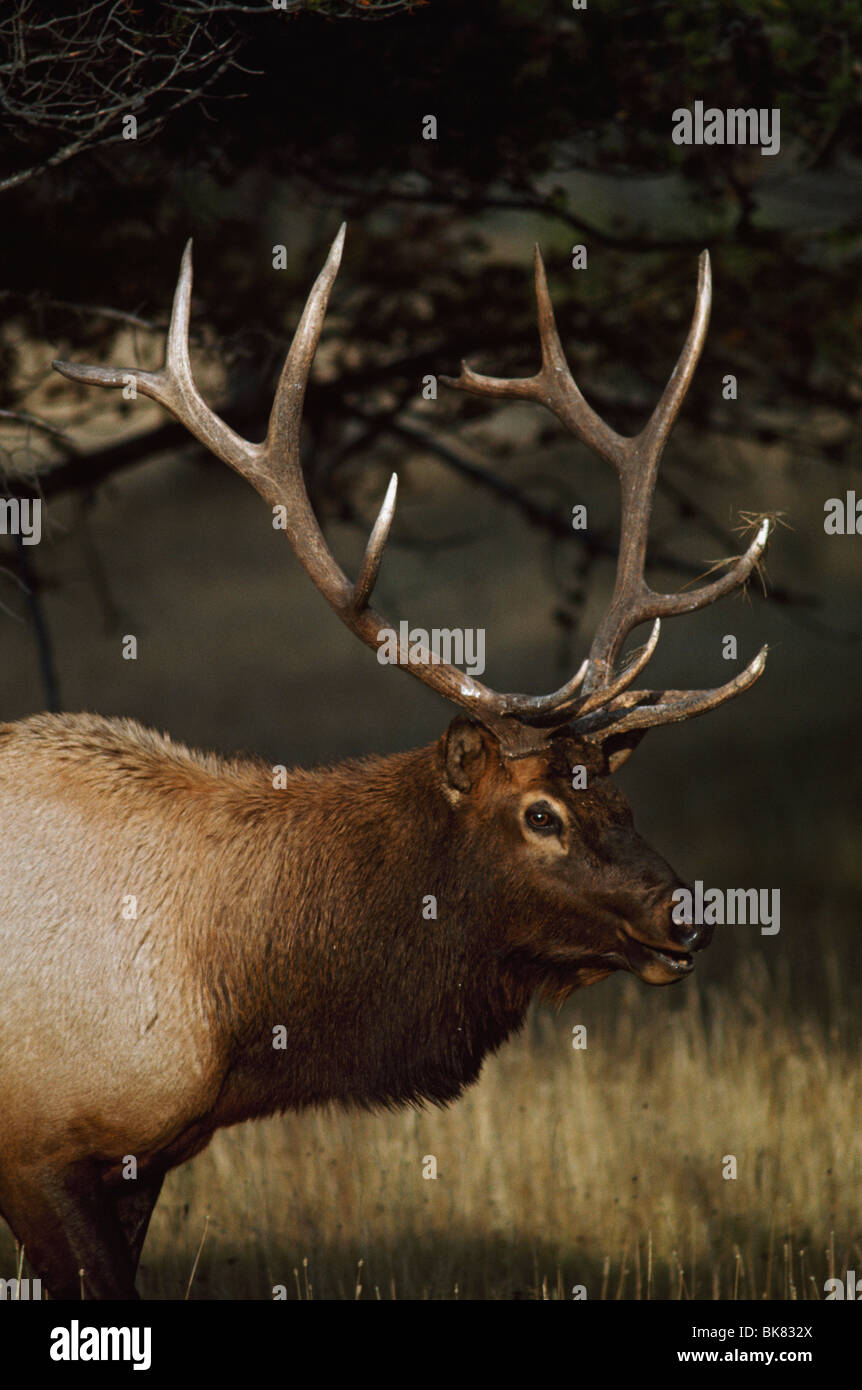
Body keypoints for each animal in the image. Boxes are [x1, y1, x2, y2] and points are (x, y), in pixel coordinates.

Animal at [0, 225, 771, 1300]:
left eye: (619, 798)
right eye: (541, 812)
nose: (687, 914)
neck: (226, 1007)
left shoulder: (144, 1159)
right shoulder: (38, 1145)